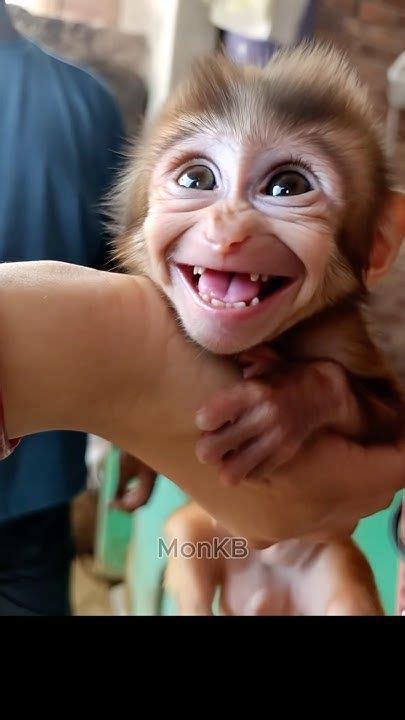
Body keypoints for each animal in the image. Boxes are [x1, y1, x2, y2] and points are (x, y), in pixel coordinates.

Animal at [110, 43, 404, 614]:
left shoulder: (345, 336)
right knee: (189, 544)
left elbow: (393, 416)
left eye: (288, 186)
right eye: (197, 179)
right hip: (206, 541)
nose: (228, 230)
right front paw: (135, 471)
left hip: (332, 567)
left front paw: (289, 401)